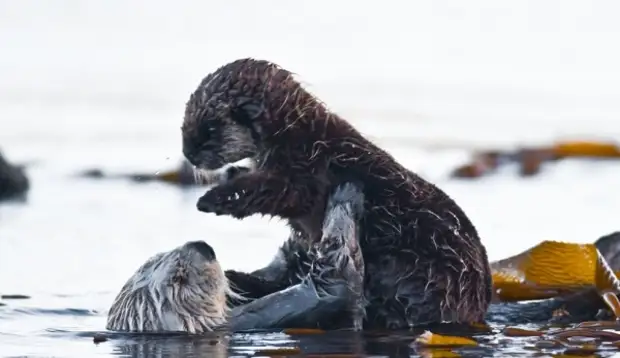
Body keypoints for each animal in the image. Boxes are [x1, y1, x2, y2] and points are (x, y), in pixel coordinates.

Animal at [180, 57, 494, 328]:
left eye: (209, 129)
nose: (188, 153)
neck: (296, 133)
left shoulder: (307, 170)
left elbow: (278, 192)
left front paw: (214, 198)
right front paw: (232, 174)